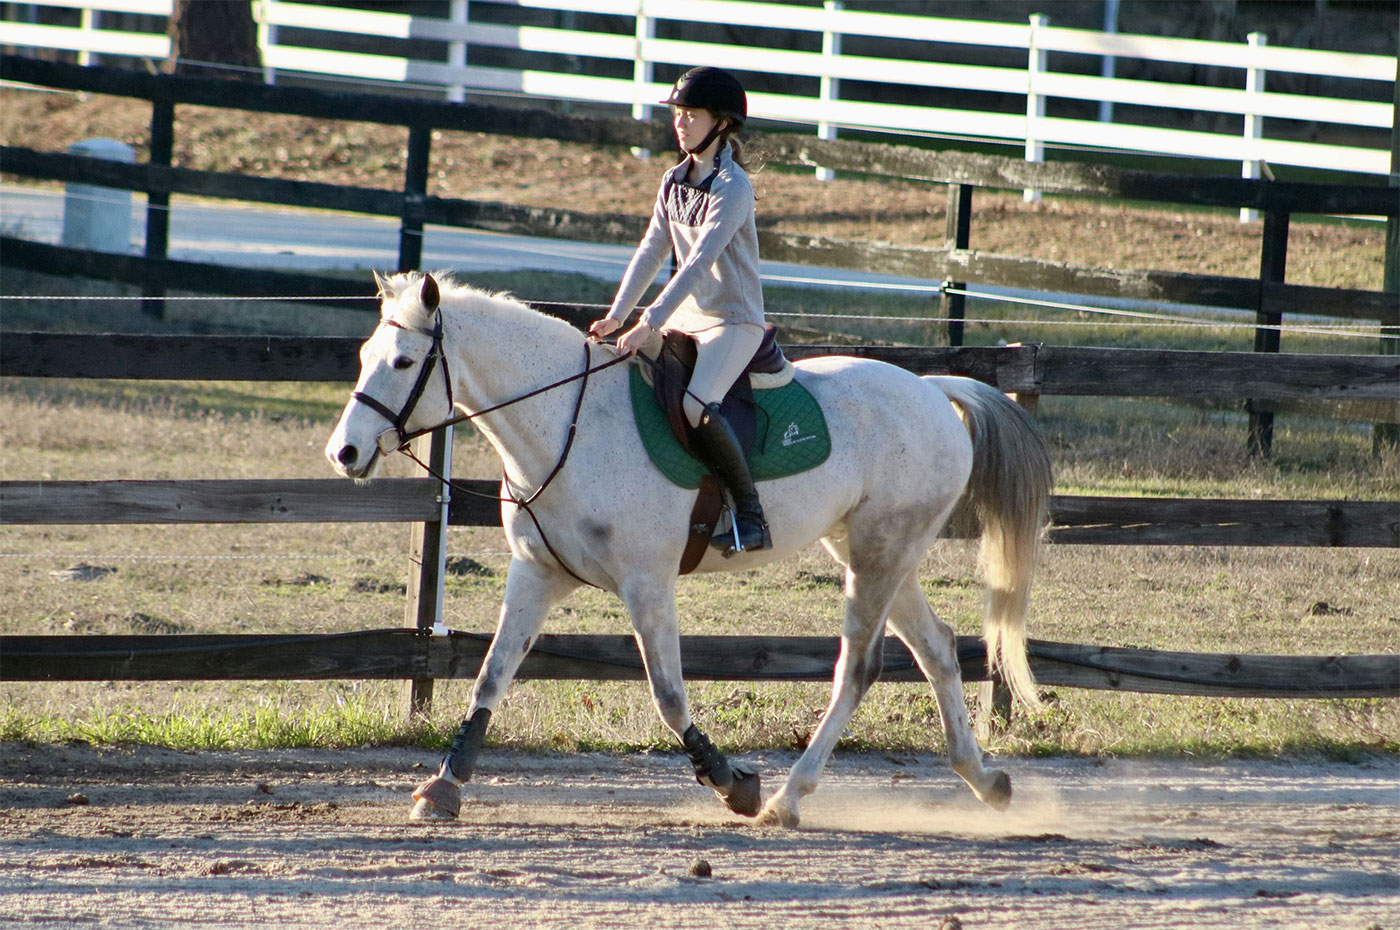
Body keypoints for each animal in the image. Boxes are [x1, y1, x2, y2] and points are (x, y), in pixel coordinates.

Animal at [325, 271, 1052, 828]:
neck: (567, 423)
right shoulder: (536, 574)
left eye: (403, 363)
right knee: (935, 649)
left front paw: (735, 784)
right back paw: (984, 779)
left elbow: (669, 695)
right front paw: (444, 787)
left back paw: (786, 800)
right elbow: (491, 675)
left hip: (878, 556)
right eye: (362, 358)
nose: (345, 454)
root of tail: (932, 389)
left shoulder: (647, 583)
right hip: (873, 551)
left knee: (859, 667)